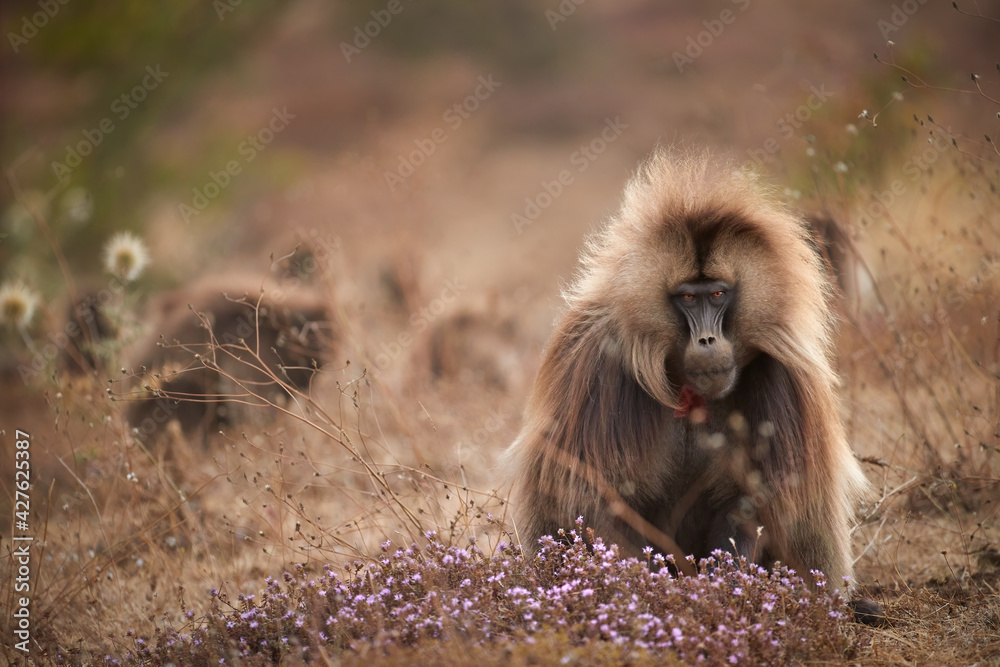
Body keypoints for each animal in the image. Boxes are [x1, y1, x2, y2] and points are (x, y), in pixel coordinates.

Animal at [502, 149, 884, 623]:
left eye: (718, 295)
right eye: (687, 298)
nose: (707, 341)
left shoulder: (783, 373)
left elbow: (755, 501)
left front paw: (718, 597)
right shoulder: (593, 362)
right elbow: (590, 502)